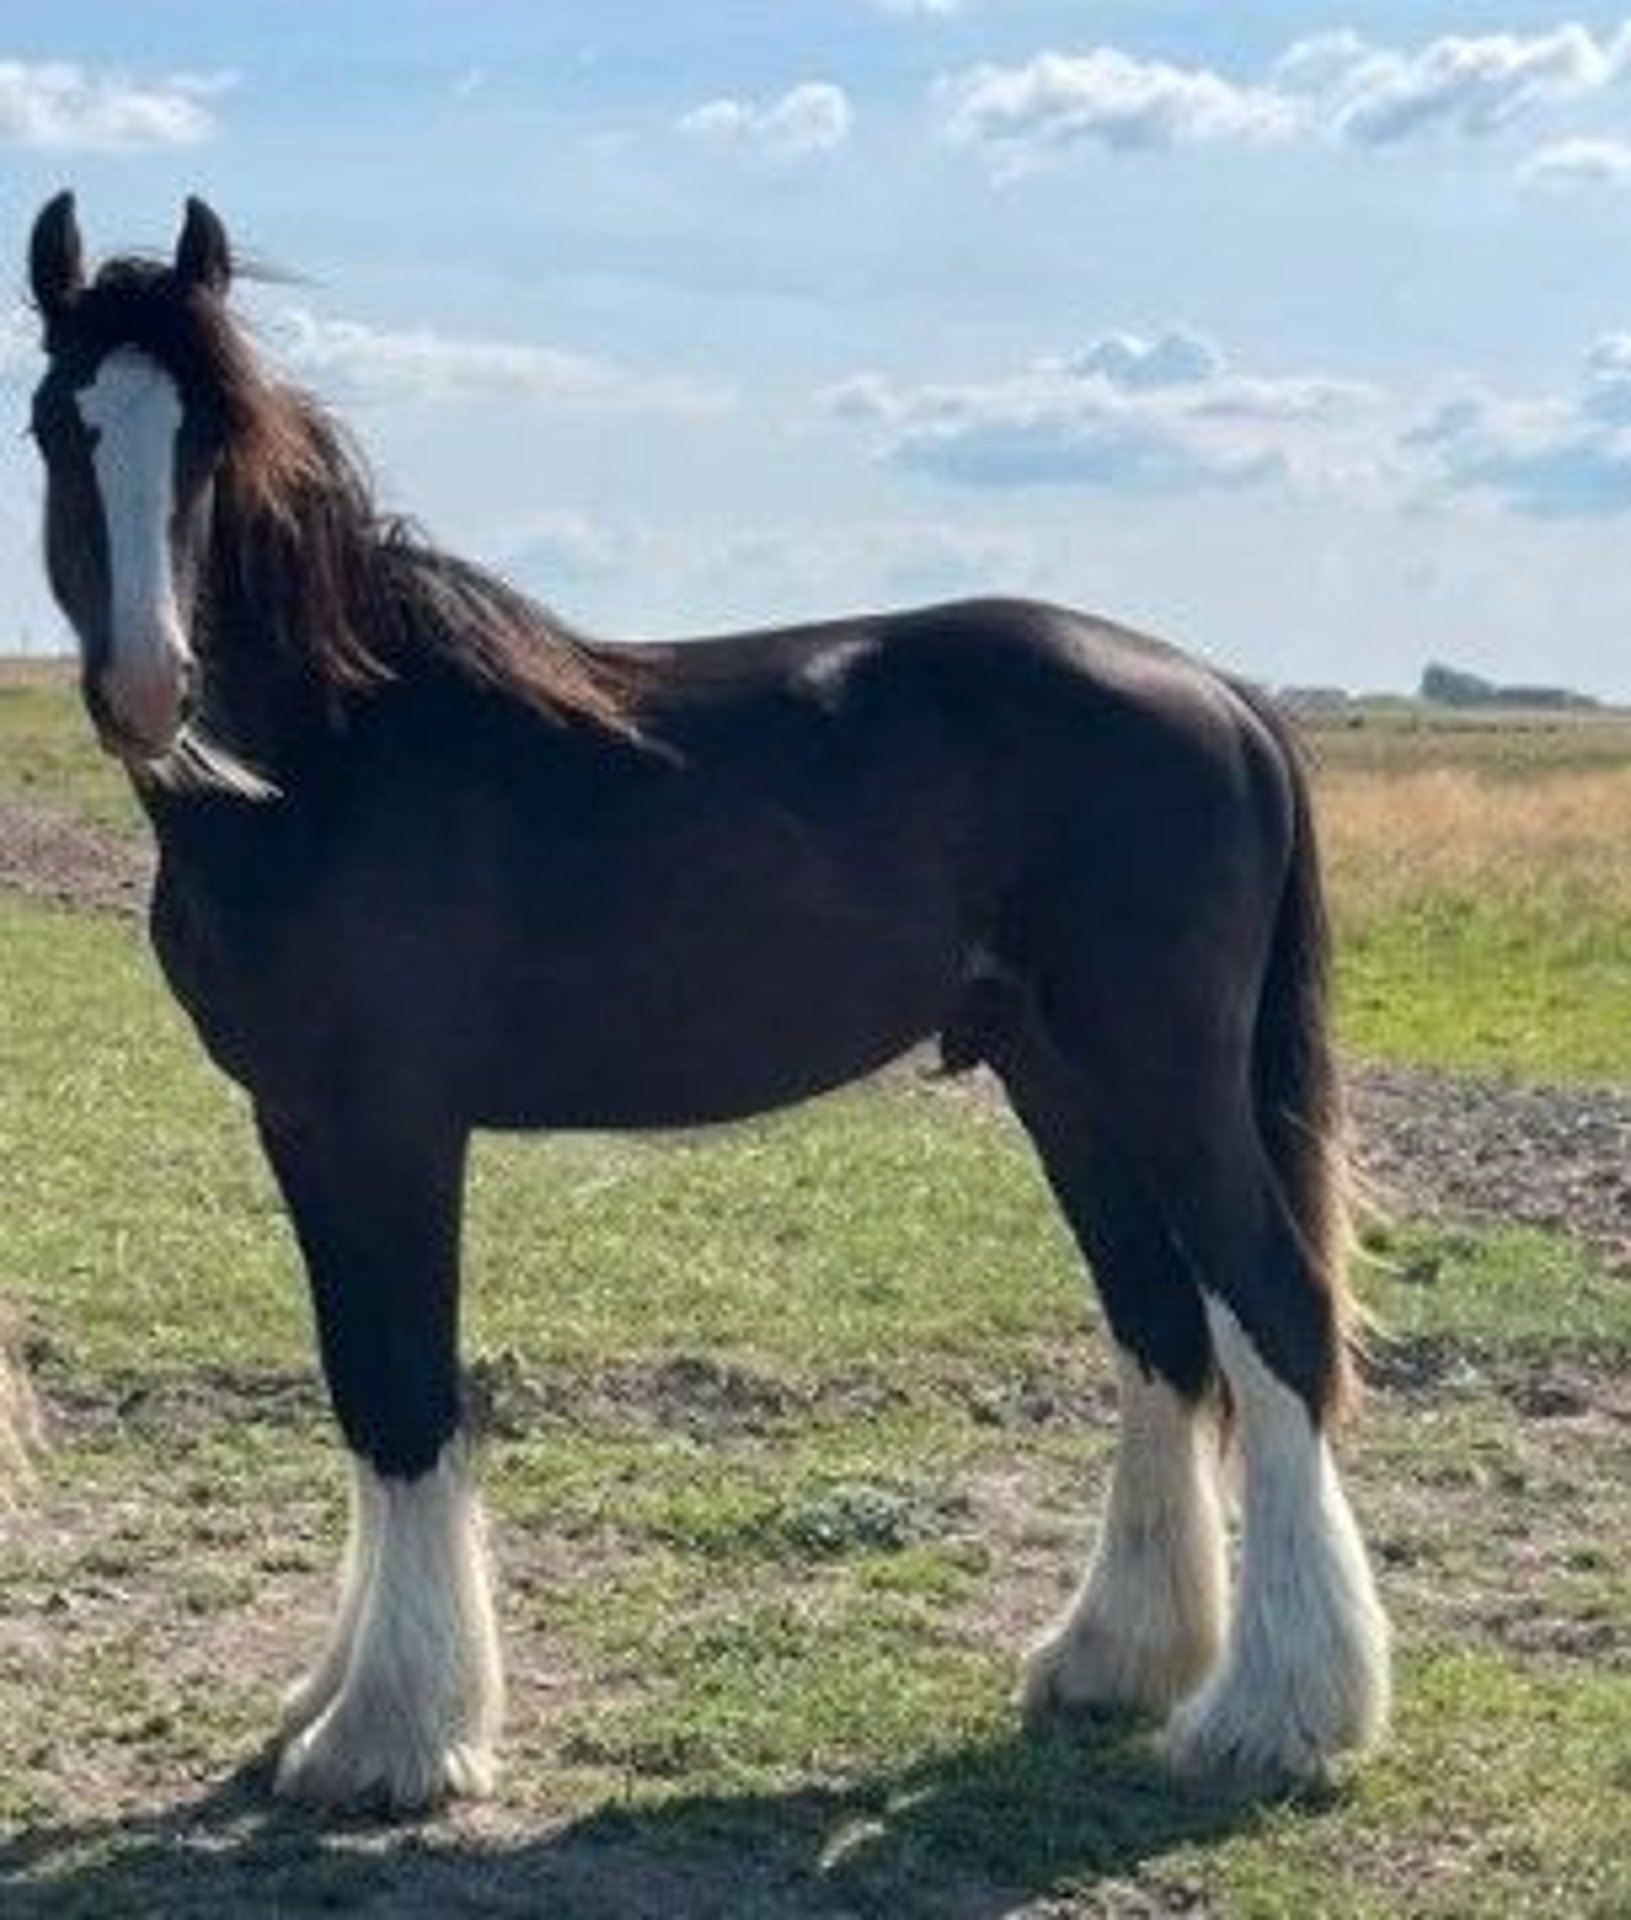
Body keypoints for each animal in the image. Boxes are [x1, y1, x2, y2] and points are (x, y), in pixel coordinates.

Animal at [24, 192, 1389, 1813]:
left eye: (209, 441)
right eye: (55, 421)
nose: (149, 689)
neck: (331, 762)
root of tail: (1223, 693)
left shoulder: (388, 1129)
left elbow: (409, 1395)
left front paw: (393, 1740)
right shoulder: (299, 1126)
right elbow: (357, 1383)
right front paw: (331, 1703)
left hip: (1163, 1073)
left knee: (1272, 1320)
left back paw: (1276, 1715)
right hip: (1062, 1079)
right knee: (1160, 1335)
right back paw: (1115, 1659)